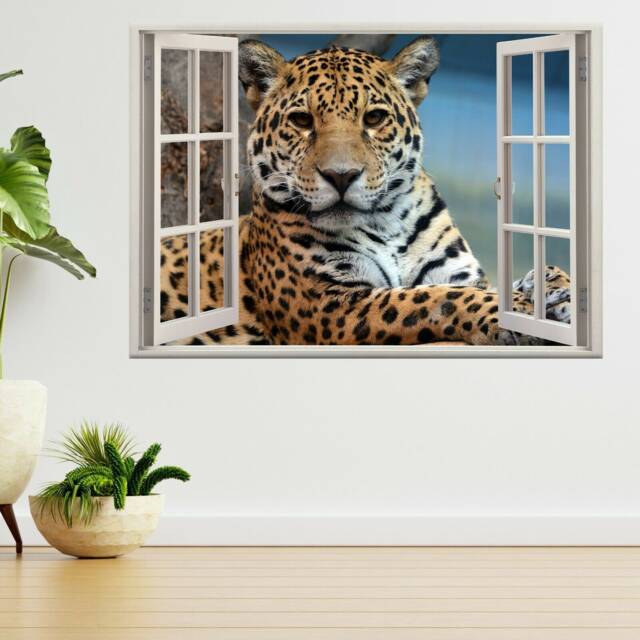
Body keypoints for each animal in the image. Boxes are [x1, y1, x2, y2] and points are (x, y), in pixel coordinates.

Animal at [160, 36, 571, 346]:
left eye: (374, 118)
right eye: (302, 120)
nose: (341, 176)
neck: (386, 223)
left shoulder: (458, 272)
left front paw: (554, 290)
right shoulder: (329, 303)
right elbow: (429, 299)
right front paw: (520, 309)